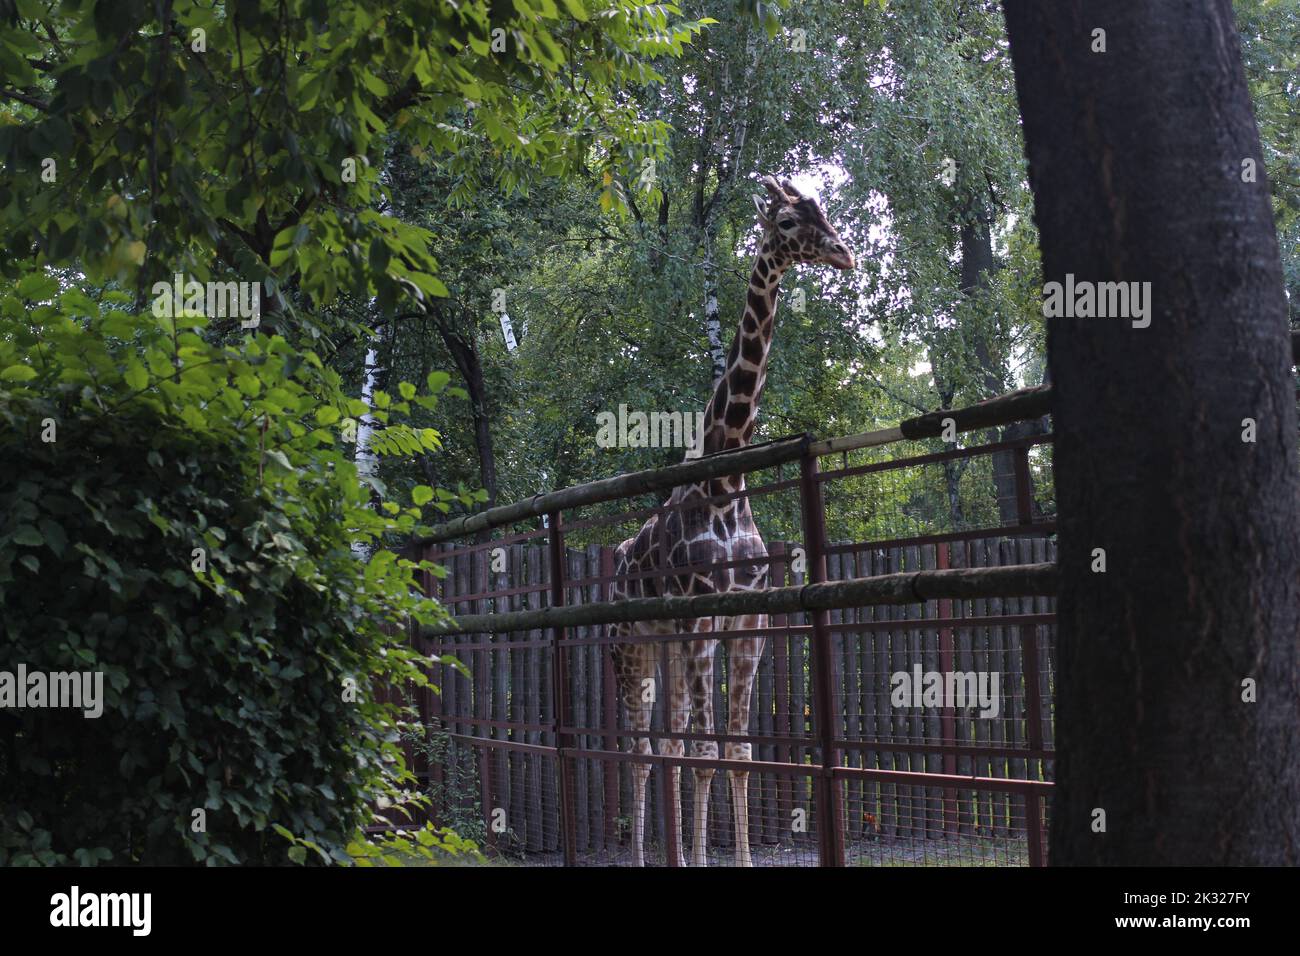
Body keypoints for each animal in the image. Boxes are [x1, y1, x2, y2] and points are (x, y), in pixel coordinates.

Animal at [609, 175, 854, 866]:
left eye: (823, 208)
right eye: (790, 221)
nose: (845, 254)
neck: (725, 484)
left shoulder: (747, 620)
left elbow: (736, 752)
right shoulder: (698, 617)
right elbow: (701, 752)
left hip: (667, 646)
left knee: (665, 742)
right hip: (631, 647)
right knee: (640, 749)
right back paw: (644, 857)